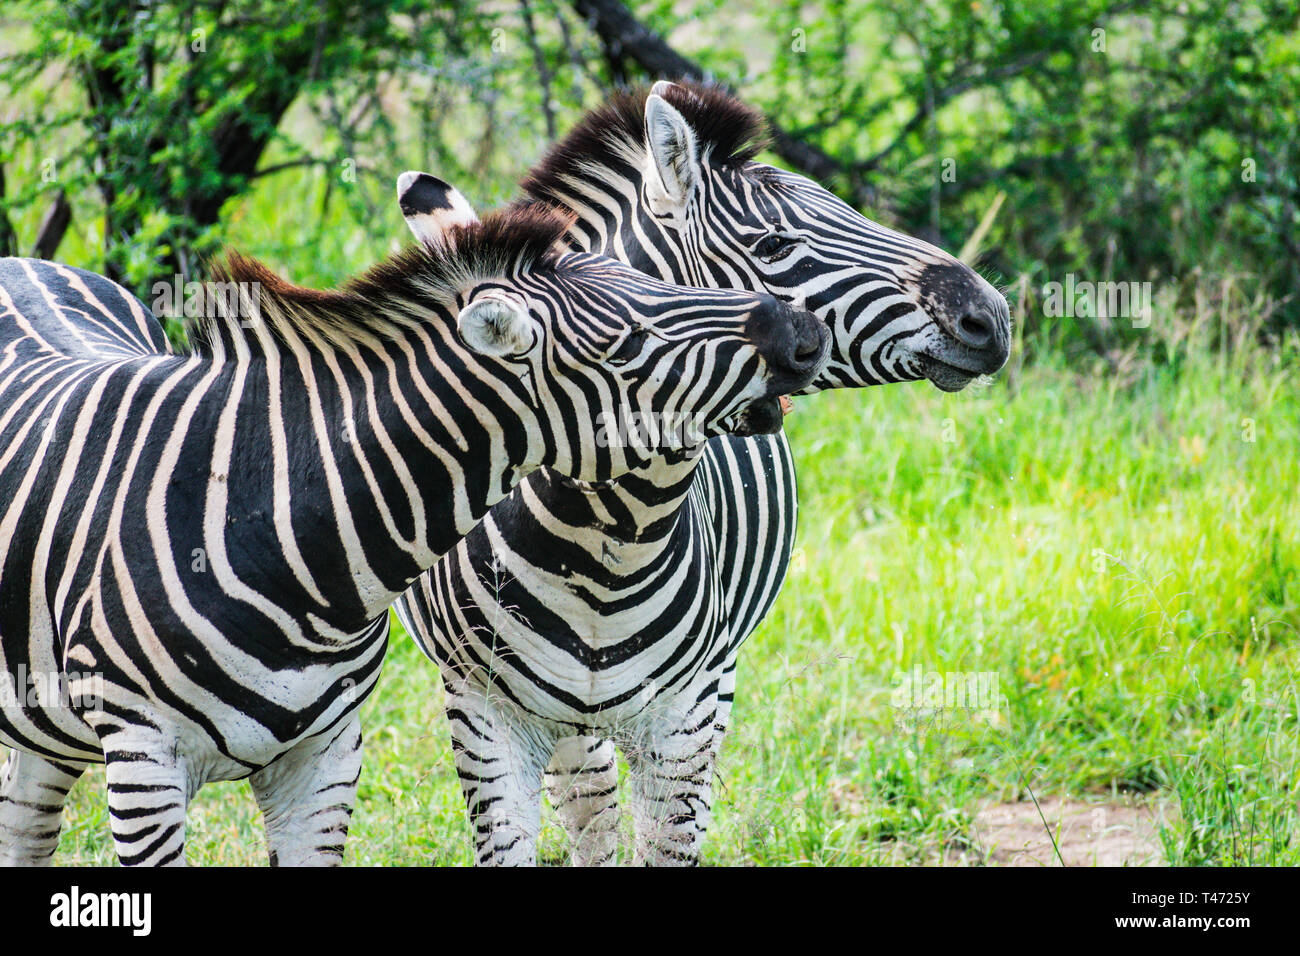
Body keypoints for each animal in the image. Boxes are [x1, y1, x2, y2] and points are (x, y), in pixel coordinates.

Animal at [0, 199, 828, 866]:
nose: (806, 331)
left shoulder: (324, 756)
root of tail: (23, 259)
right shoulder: (145, 759)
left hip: (47, 724)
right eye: (624, 346)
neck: (281, 535)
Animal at [391, 81, 1012, 865]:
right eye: (774, 245)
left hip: (714, 682)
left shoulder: (685, 718)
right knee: (591, 808)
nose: (990, 317)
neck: (608, 536)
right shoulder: (484, 714)